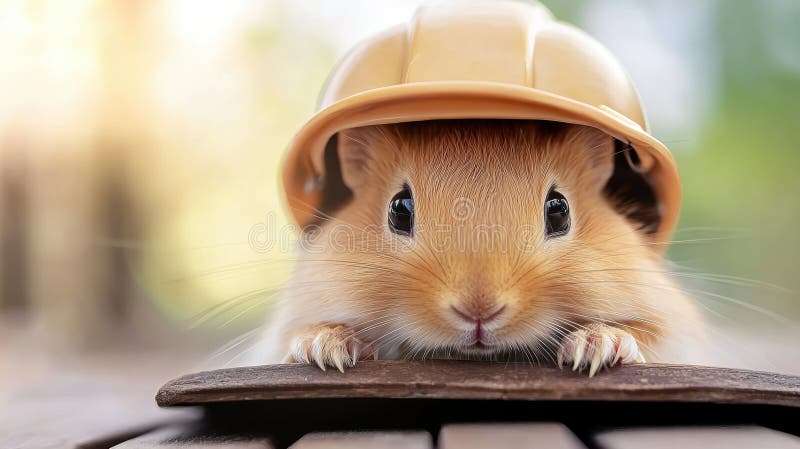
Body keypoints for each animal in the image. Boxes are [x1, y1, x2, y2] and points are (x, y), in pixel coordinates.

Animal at [255, 120, 704, 376]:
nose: (479, 313)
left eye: (559, 210)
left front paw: (596, 347)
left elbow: (644, 334)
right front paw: (325, 347)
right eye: (399, 209)